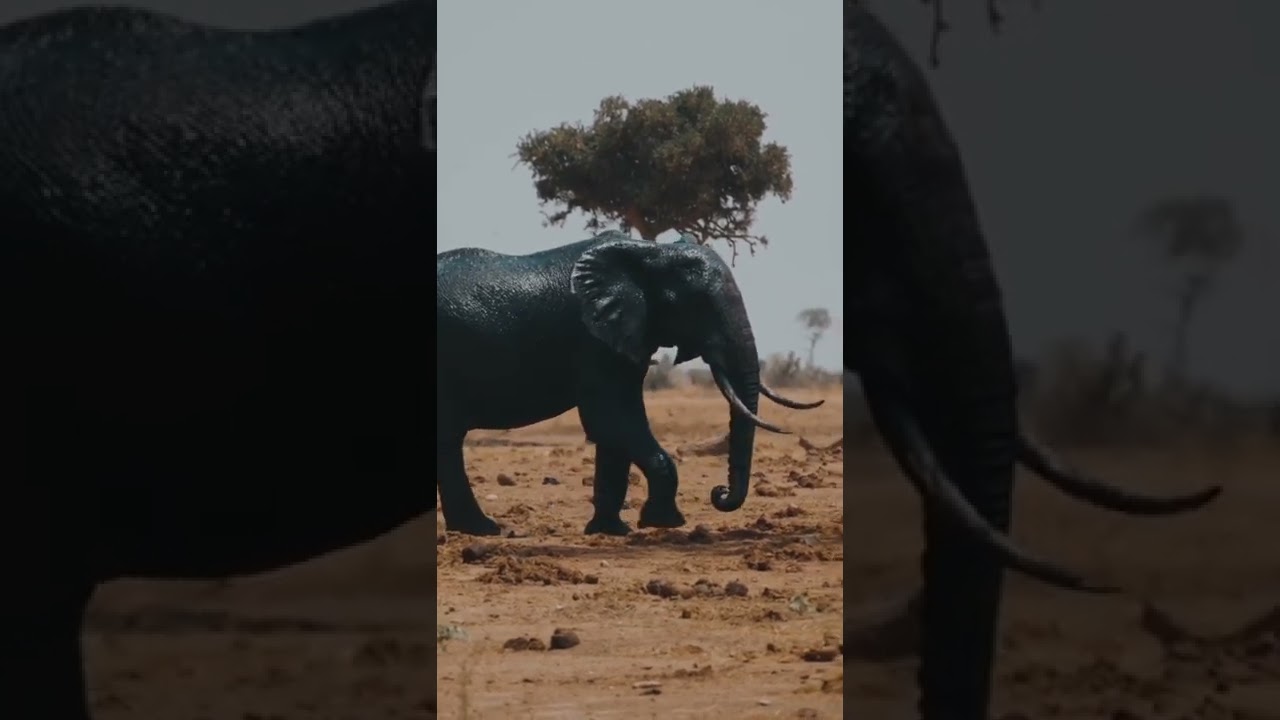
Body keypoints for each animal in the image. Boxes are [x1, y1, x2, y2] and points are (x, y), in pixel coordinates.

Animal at [436, 231, 823, 537]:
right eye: (700, 305)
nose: (719, 493)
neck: (649, 252)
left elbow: (614, 430)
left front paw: (610, 531)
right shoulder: (592, 337)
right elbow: (611, 418)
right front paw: (663, 523)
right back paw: (484, 530)